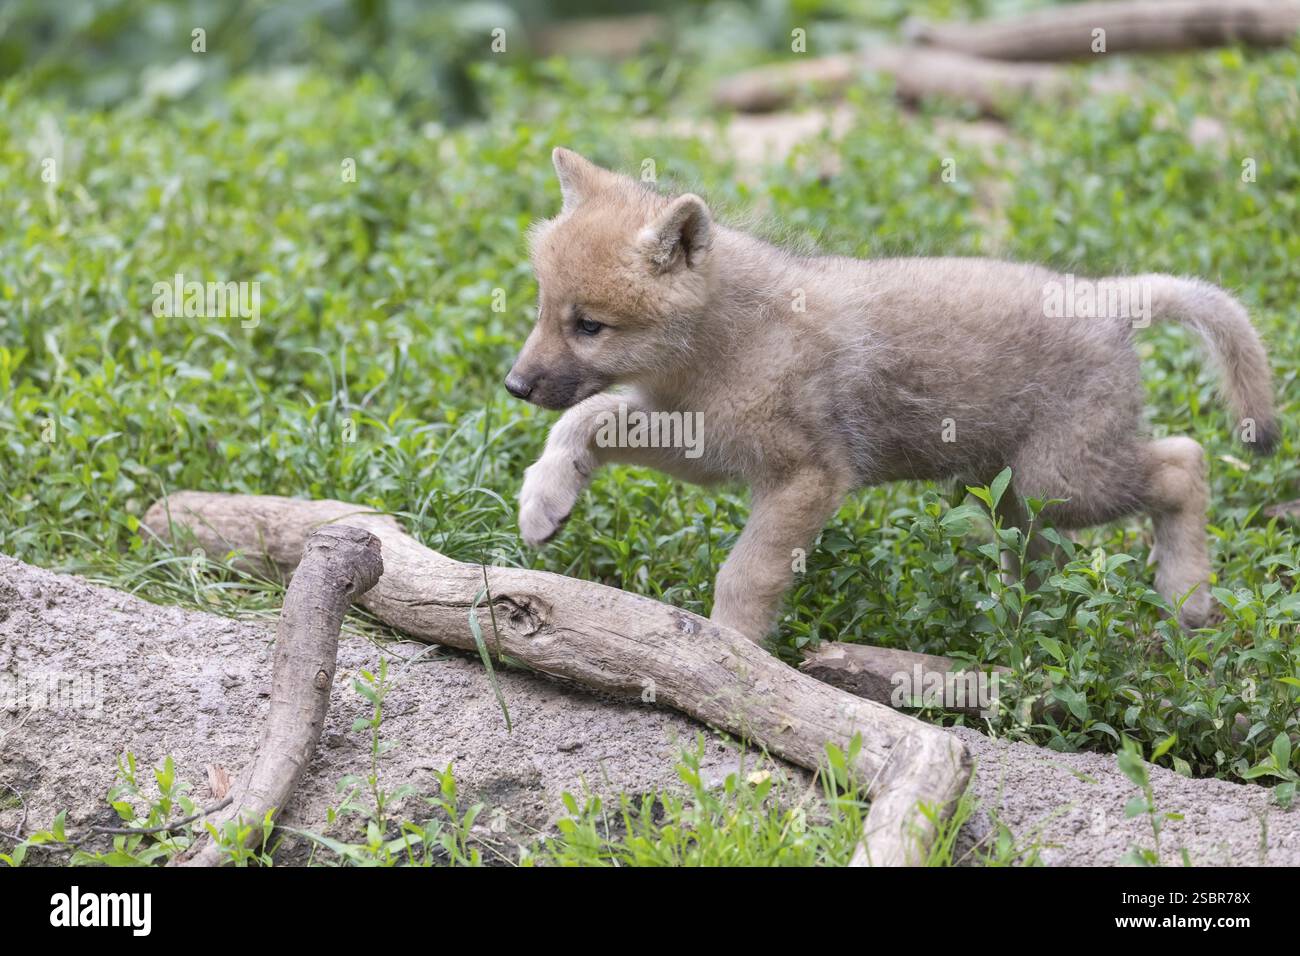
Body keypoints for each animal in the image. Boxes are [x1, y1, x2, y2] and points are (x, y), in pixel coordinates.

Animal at [505, 147, 1278, 642]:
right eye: (543, 311)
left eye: (590, 326)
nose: (514, 384)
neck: (723, 342)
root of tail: (1106, 297)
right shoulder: (697, 443)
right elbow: (586, 417)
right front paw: (544, 500)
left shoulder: (807, 477)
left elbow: (745, 576)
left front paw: (734, 660)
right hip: (1018, 502)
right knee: (1048, 570)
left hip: (1060, 481)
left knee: (1184, 461)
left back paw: (1186, 599)